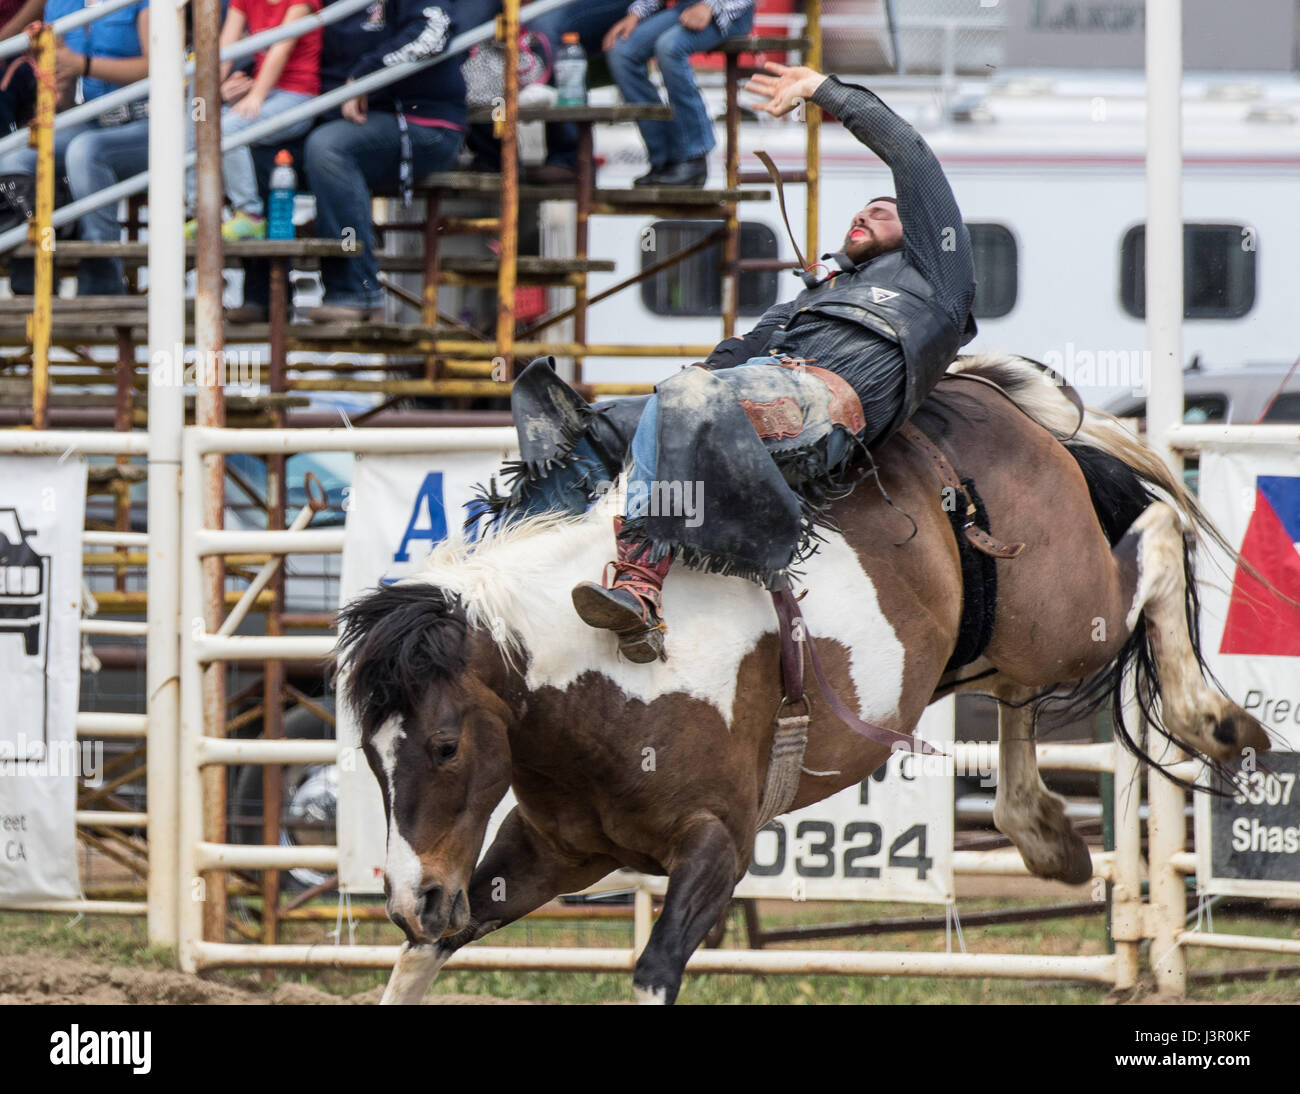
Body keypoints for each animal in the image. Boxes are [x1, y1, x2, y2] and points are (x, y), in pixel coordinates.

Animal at [337, 354, 1271, 1005]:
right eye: (371, 759)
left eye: (444, 745)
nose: (414, 898)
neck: (603, 666)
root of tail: (993, 400)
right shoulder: (549, 852)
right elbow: (420, 960)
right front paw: (419, 938)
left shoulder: (718, 844)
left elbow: (654, 967)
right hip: (1011, 638)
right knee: (1014, 692)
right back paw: (1041, 830)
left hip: (1067, 615)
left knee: (1158, 532)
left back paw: (1216, 721)